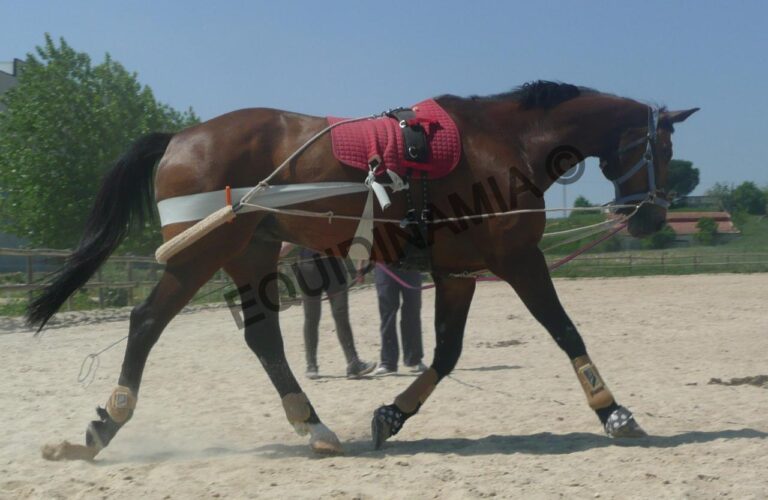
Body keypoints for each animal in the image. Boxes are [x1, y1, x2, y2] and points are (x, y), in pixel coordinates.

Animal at [30, 81, 698, 459]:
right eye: (662, 149)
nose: (649, 216)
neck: (504, 141)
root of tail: (180, 137)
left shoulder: (458, 271)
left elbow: (446, 353)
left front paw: (391, 414)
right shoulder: (517, 259)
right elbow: (564, 331)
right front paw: (613, 411)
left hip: (249, 253)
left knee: (263, 340)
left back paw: (314, 427)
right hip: (201, 254)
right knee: (146, 322)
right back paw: (105, 426)